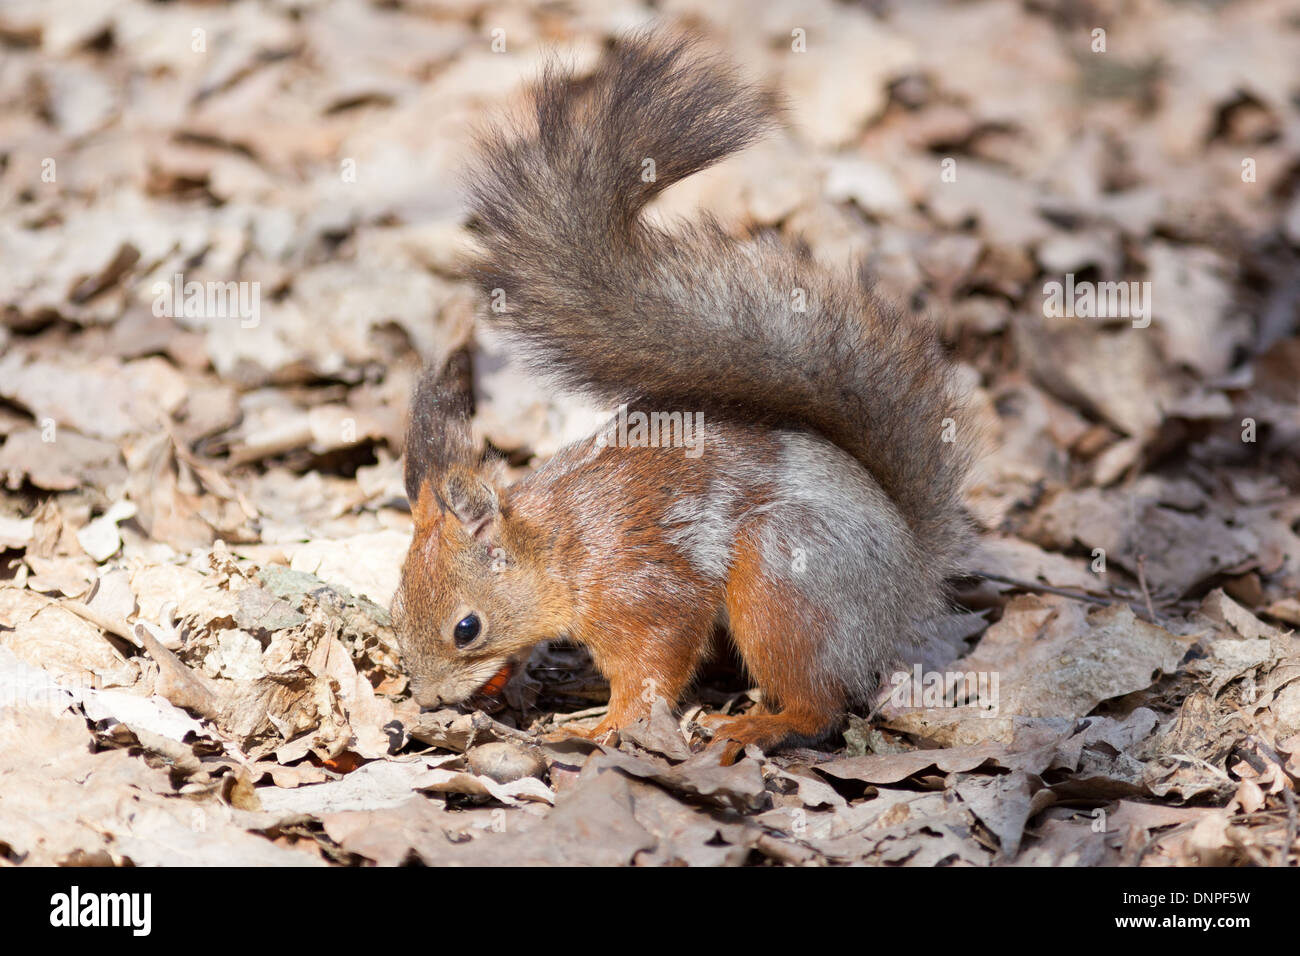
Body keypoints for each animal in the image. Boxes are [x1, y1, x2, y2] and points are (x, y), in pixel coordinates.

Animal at [390, 32, 975, 751]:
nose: (427, 699)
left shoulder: (641, 590)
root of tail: (908, 583)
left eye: (466, 628)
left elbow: (652, 665)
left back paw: (752, 725)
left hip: (783, 584)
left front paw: (602, 730)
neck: (559, 549)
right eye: (395, 605)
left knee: (819, 704)